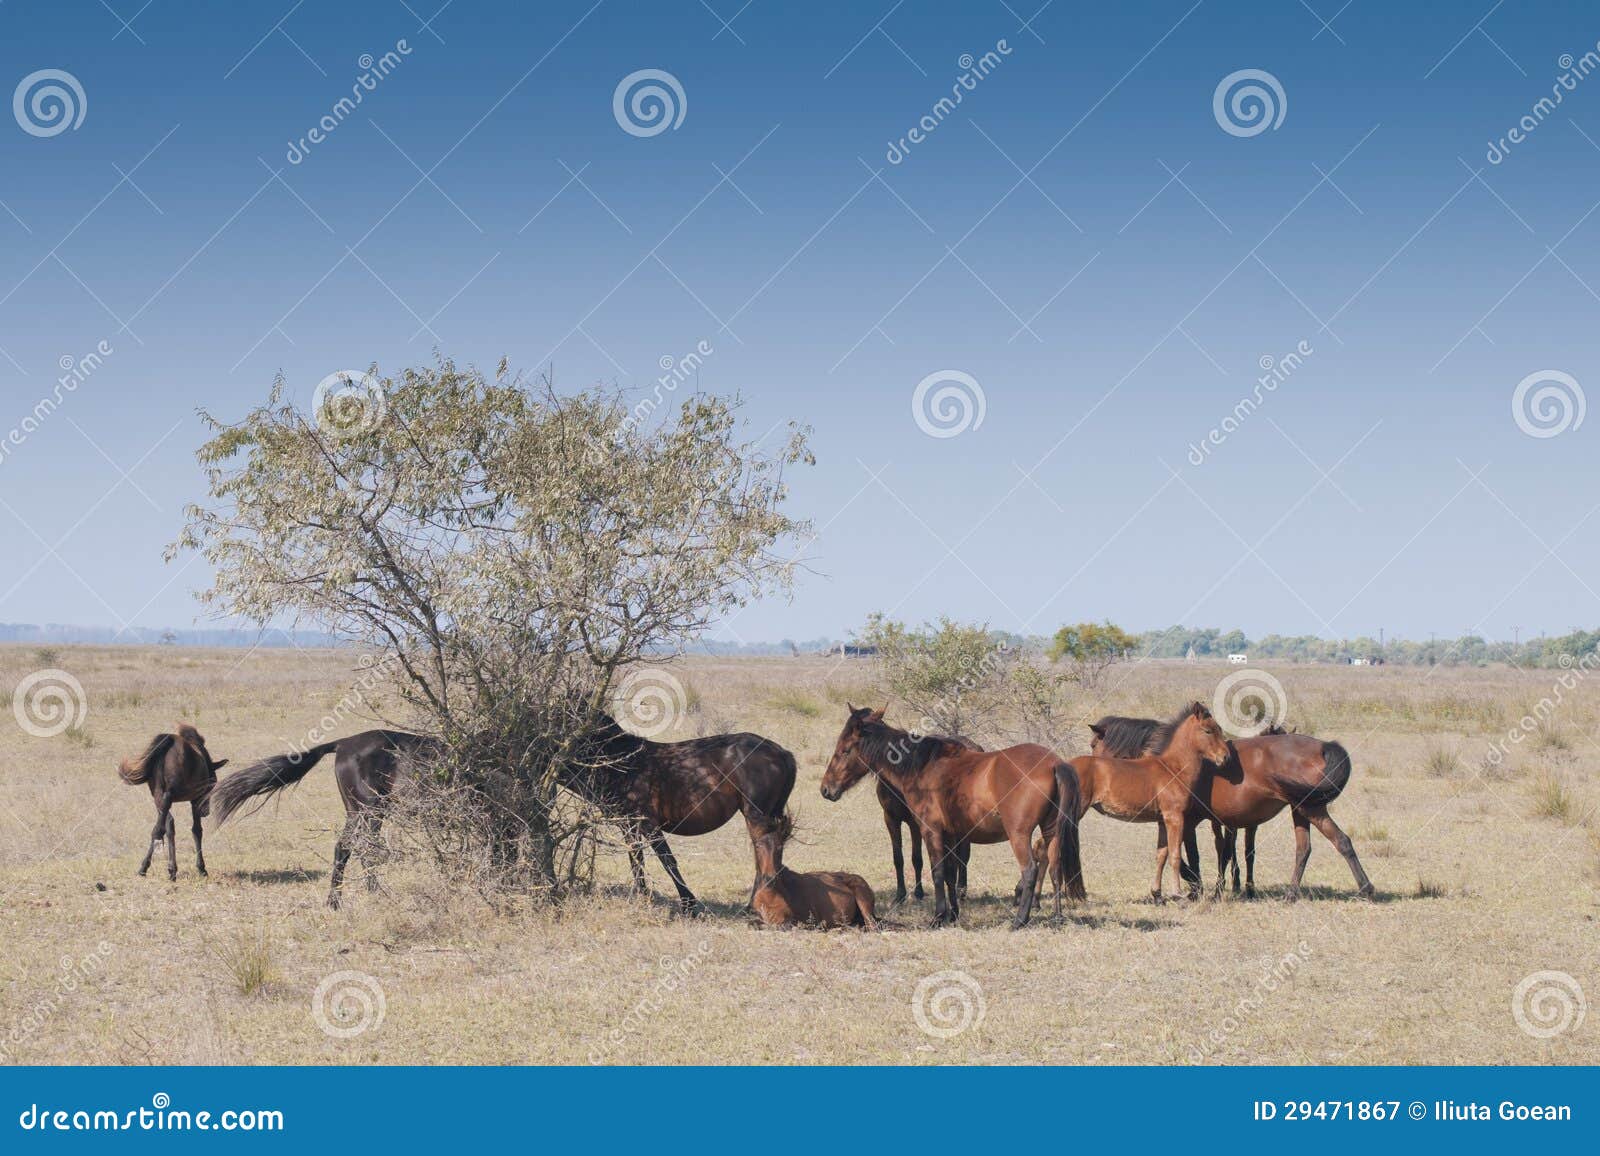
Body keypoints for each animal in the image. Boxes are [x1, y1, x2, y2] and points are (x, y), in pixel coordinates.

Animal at [116, 724, 228, 880]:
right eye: (213, 783)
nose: (206, 811)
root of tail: (169, 741)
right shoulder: (195, 801)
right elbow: (197, 830)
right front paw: (201, 868)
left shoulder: (161, 801)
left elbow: (168, 826)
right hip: (169, 797)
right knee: (161, 829)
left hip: (160, 798)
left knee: (163, 827)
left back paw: (149, 868)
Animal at [209, 729, 440, 908]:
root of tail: (343, 743)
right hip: (370, 810)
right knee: (366, 848)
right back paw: (375, 894)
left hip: (355, 812)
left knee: (344, 847)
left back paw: (334, 902)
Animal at [876, 732, 979, 903]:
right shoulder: (890, 819)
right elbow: (898, 858)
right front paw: (900, 894)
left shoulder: (915, 823)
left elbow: (917, 858)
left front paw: (918, 892)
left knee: (963, 855)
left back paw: (961, 891)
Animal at [1066, 702, 1234, 901]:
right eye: (1208, 730)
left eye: (1220, 729)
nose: (1225, 758)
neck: (1172, 769)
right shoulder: (1174, 817)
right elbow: (1175, 855)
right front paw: (1177, 894)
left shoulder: (1162, 821)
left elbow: (1161, 855)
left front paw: (1157, 894)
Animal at [1090, 714, 1373, 900]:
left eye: (1093, 744)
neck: (1171, 760)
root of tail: (1323, 745)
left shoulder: (1189, 821)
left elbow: (1190, 856)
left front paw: (1197, 888)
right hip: (1300, 809)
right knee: (1305, 848)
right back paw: (1292, 894)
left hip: (1310, 809)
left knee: (1341, 840)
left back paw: (1365, 888)